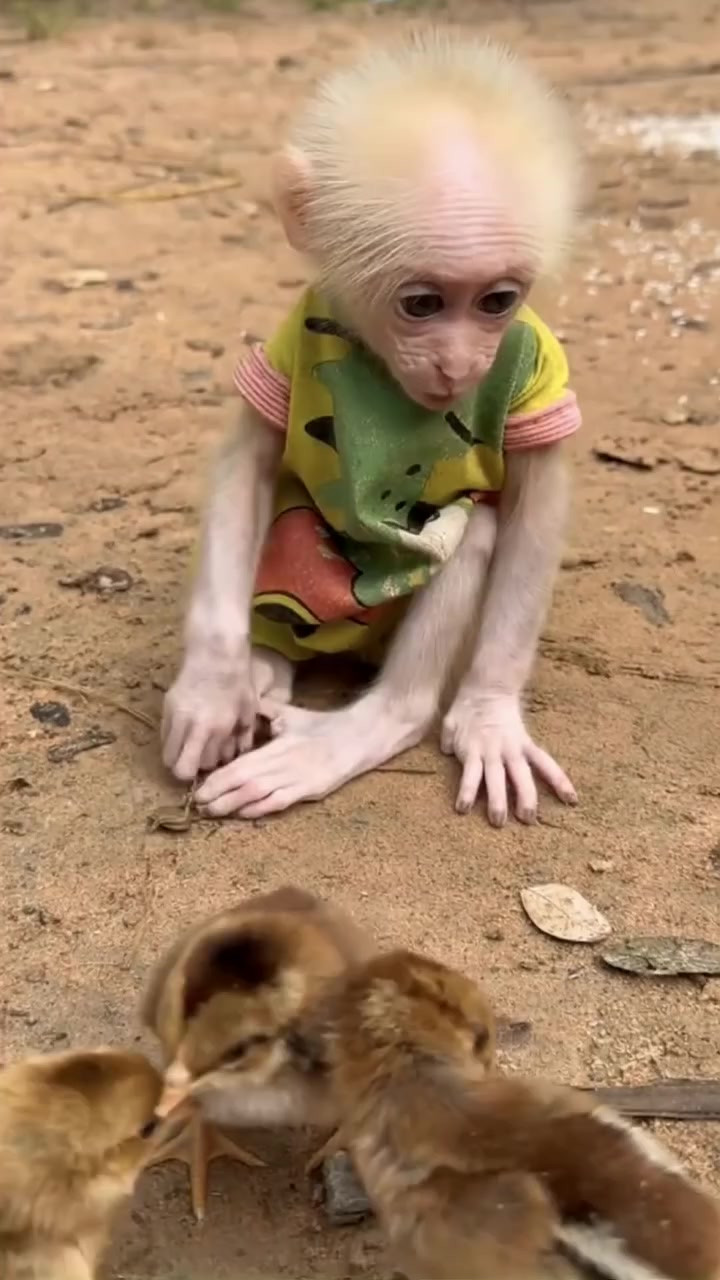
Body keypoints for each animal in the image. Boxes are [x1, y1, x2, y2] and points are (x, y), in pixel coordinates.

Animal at [161, 29, 582, 827]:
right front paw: (213, 684)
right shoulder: (293, 334)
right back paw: (264, 663)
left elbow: (535, 520)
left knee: (471, 533)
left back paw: (365, 726)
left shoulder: (541, 377)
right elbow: (246, 465)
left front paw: (490, 716)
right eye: (421, 304)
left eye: (498, 301)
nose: (460, 364)